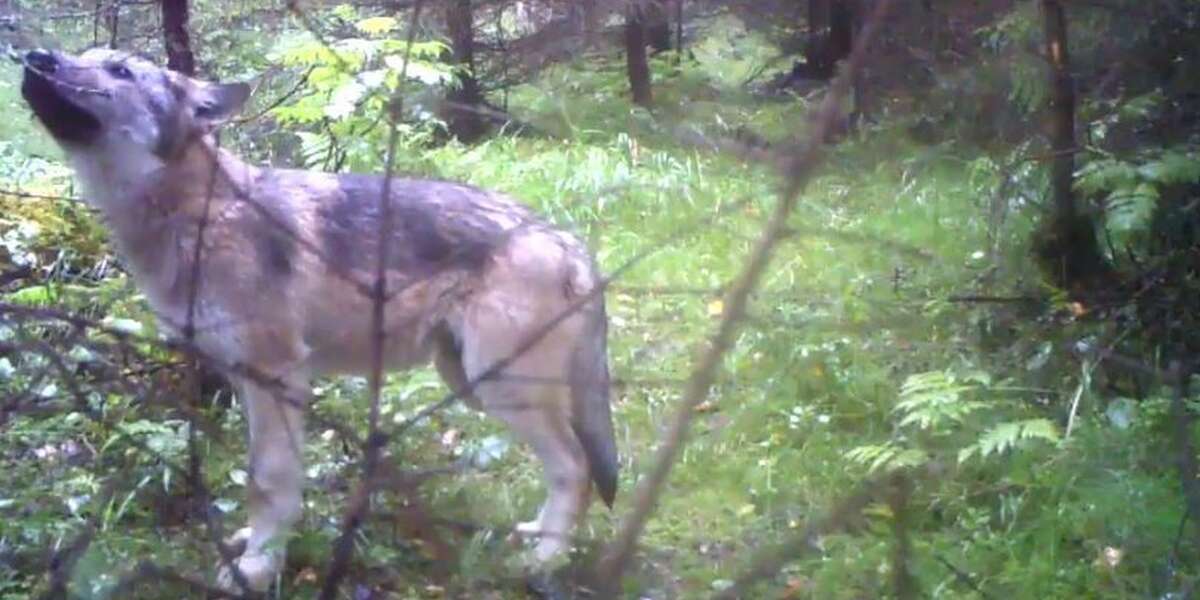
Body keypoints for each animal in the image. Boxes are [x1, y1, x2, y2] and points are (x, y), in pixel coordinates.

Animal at [20, 47, 618, 592]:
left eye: (118, 70)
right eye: (83, 56)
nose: (35, 56)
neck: (200, 215)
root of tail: (567, 240)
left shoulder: (278, 376)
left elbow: (270, 481)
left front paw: (258, 567)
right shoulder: (245, 381)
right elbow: (259, 477)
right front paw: (253, 545)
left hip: (499, 387)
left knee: (576, 466)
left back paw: (545, 561)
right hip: (471, 384)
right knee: (570, 464)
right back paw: (537, 534)